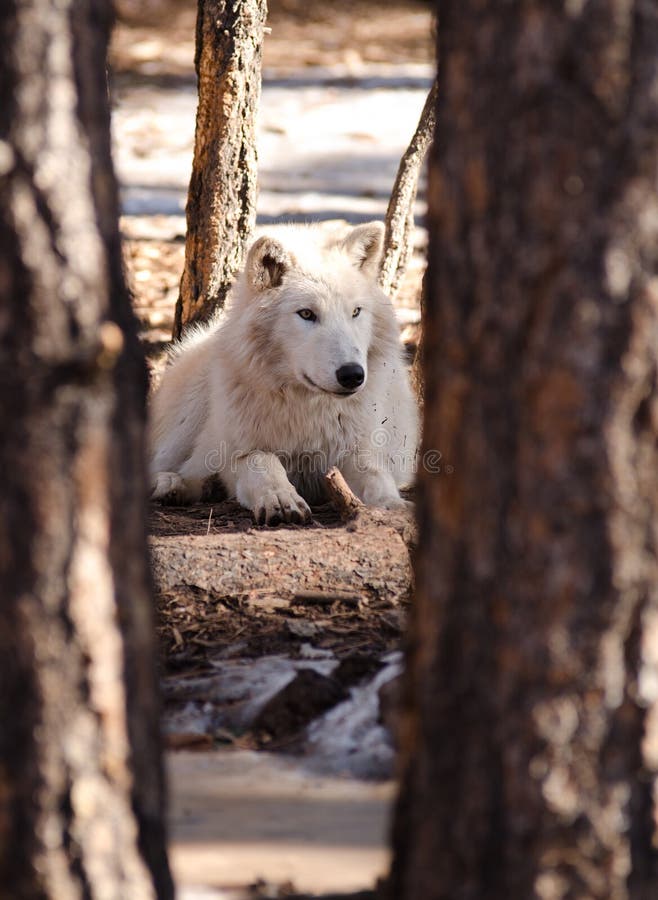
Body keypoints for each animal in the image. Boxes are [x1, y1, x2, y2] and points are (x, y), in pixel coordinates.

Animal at [149, 221, 418, 525]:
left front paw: (392, 505)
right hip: (189, 413)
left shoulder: (357, 450)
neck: (308, 409)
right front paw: (280, 497)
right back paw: (171, 484)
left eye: (356, 312)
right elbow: (261, 460)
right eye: (307, 314)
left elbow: (375, 475)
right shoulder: (236, 450)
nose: (352, 374)